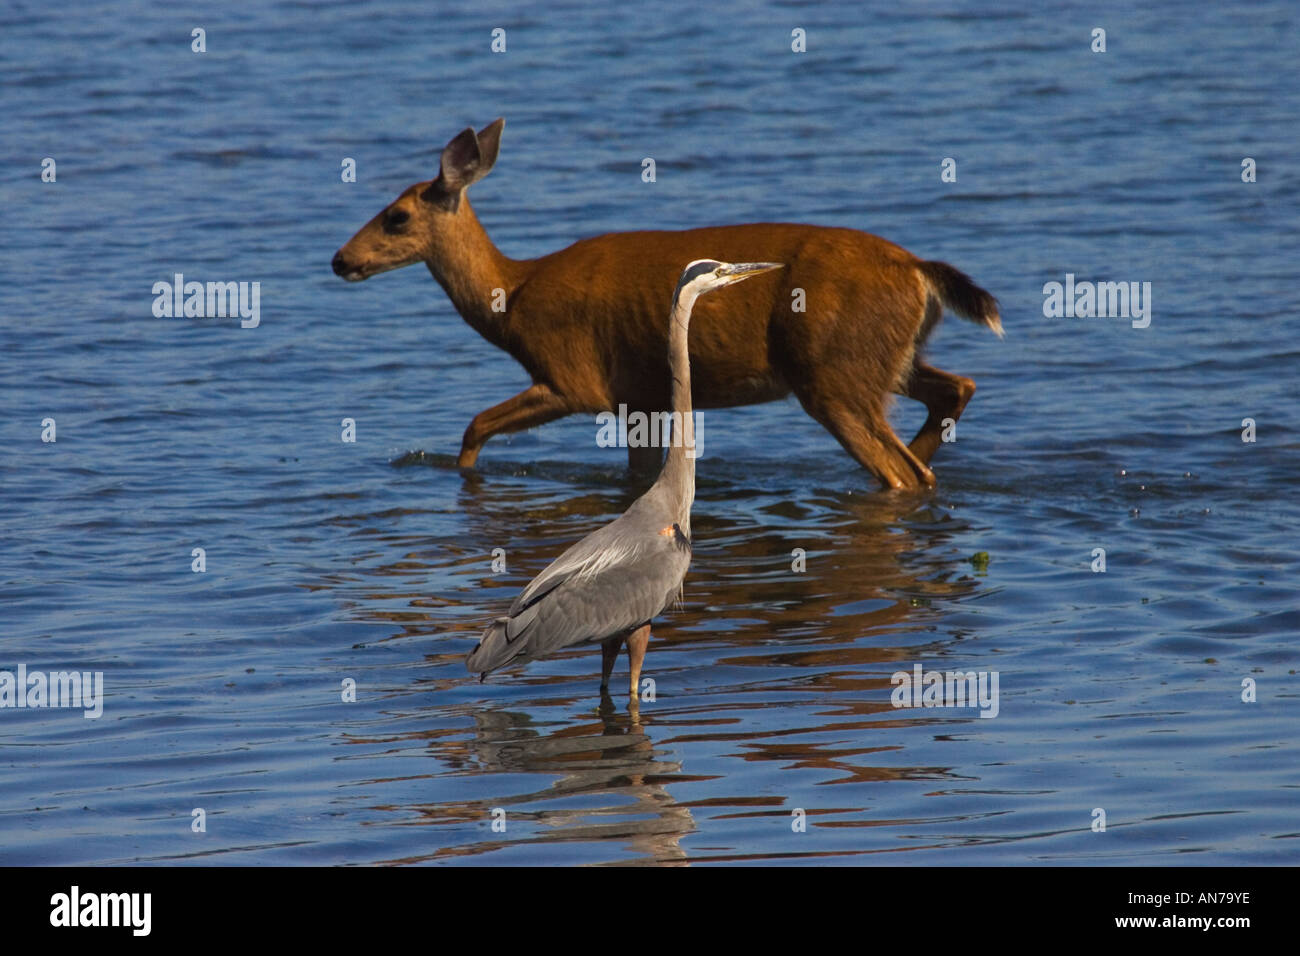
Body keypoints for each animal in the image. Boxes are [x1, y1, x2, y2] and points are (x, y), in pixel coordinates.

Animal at [331, 118, 1002, 490]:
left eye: (395, 216)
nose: (339, 259)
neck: (514, 293)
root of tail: (918, 271)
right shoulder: (641, 396)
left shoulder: (574, 377)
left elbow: (474, 425)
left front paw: (460, 471)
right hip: (883, 359)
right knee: (955, 391)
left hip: (831, 371)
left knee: (902, 474)